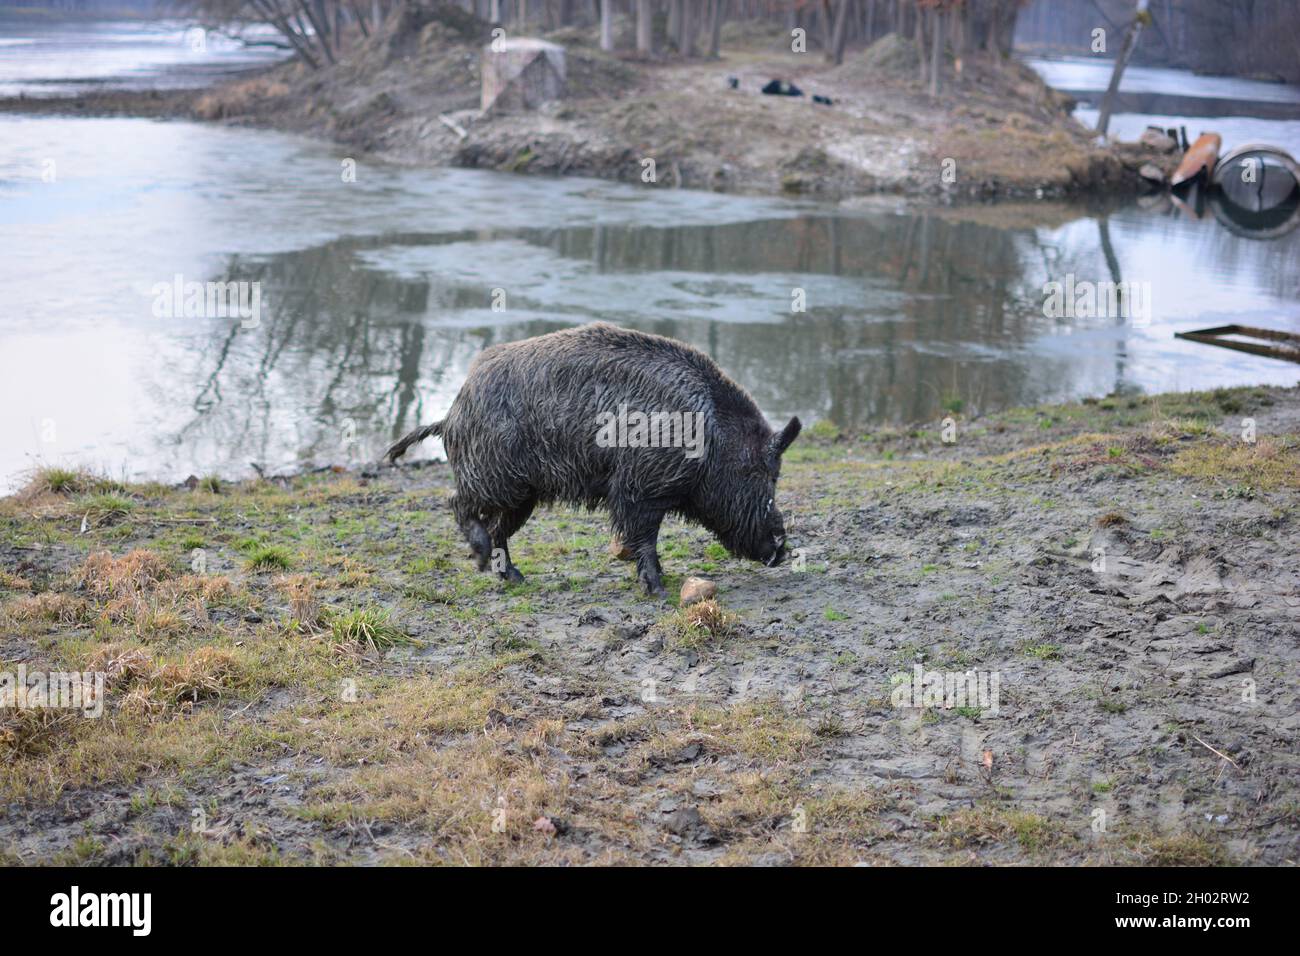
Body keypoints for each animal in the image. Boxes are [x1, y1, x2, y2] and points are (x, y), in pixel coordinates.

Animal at [386, 323, 800, 597]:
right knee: (458, 504)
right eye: (763, 474)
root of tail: (451, 414)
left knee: (499, 528)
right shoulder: (638, 488)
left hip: (522, 494)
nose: (783, 547)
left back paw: (516, 578)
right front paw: (658, 589)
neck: (711, 440)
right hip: (494, 477)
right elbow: (644, 536)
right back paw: (481, 559)